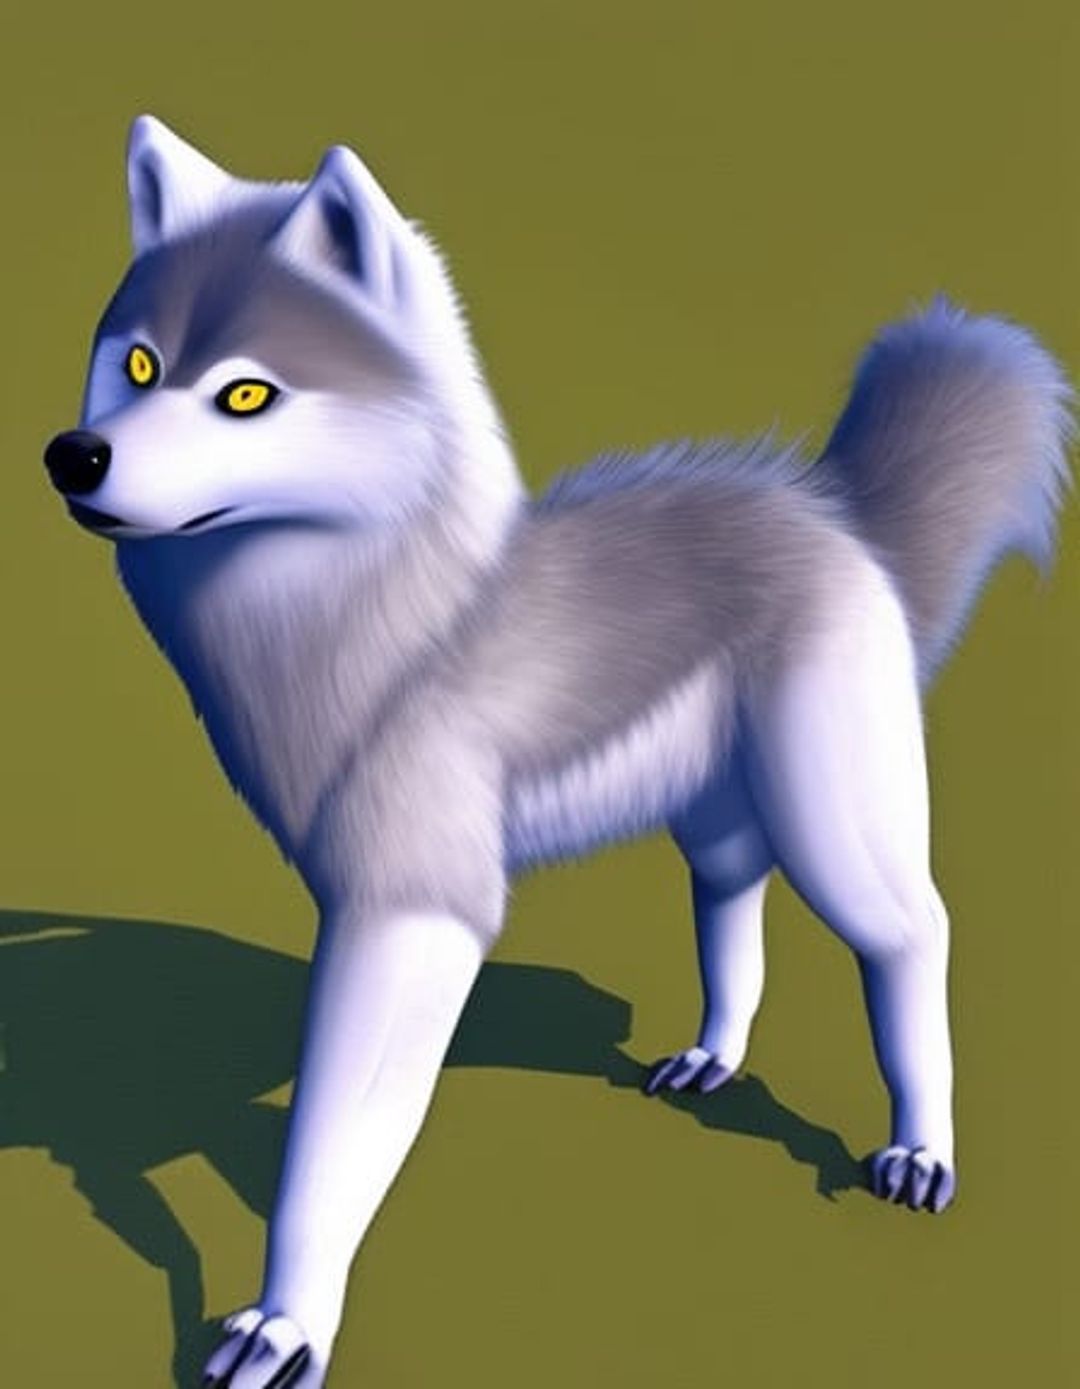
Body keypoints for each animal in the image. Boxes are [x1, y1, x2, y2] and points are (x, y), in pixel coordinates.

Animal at [43, 115, 1071, 1388]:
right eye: (137, 367)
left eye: (245, 393)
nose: (72, 456)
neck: (392, 626)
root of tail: (835, 513)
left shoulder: (411, 918)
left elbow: (325, 1160)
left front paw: (286, 1325)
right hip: (714, 814)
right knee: (736, 903)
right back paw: (712, 1057)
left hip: (835, 827)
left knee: (914, 935)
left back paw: (921, 1152)